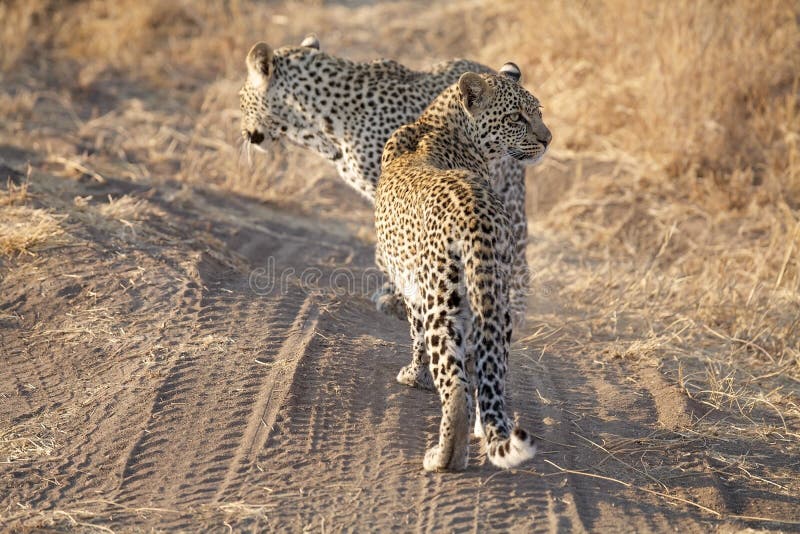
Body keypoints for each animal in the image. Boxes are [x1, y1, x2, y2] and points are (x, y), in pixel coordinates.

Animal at [239, 35, 531, 325]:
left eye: (241, 100)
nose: (243, 132)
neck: (319, 127)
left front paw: (399, 300)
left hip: (509, 192)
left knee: (518, 251)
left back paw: (516, 309)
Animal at [374, 68, 551, 471]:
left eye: (537, 113)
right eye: (517, 117)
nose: (547, 139)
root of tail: (477, 212)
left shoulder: (413, 290)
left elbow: (415, 337)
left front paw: (413, 376)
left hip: (443, 299)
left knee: (454, 385)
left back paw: (443, 457)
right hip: (495, 297)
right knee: (490, 371)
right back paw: (485, 428)